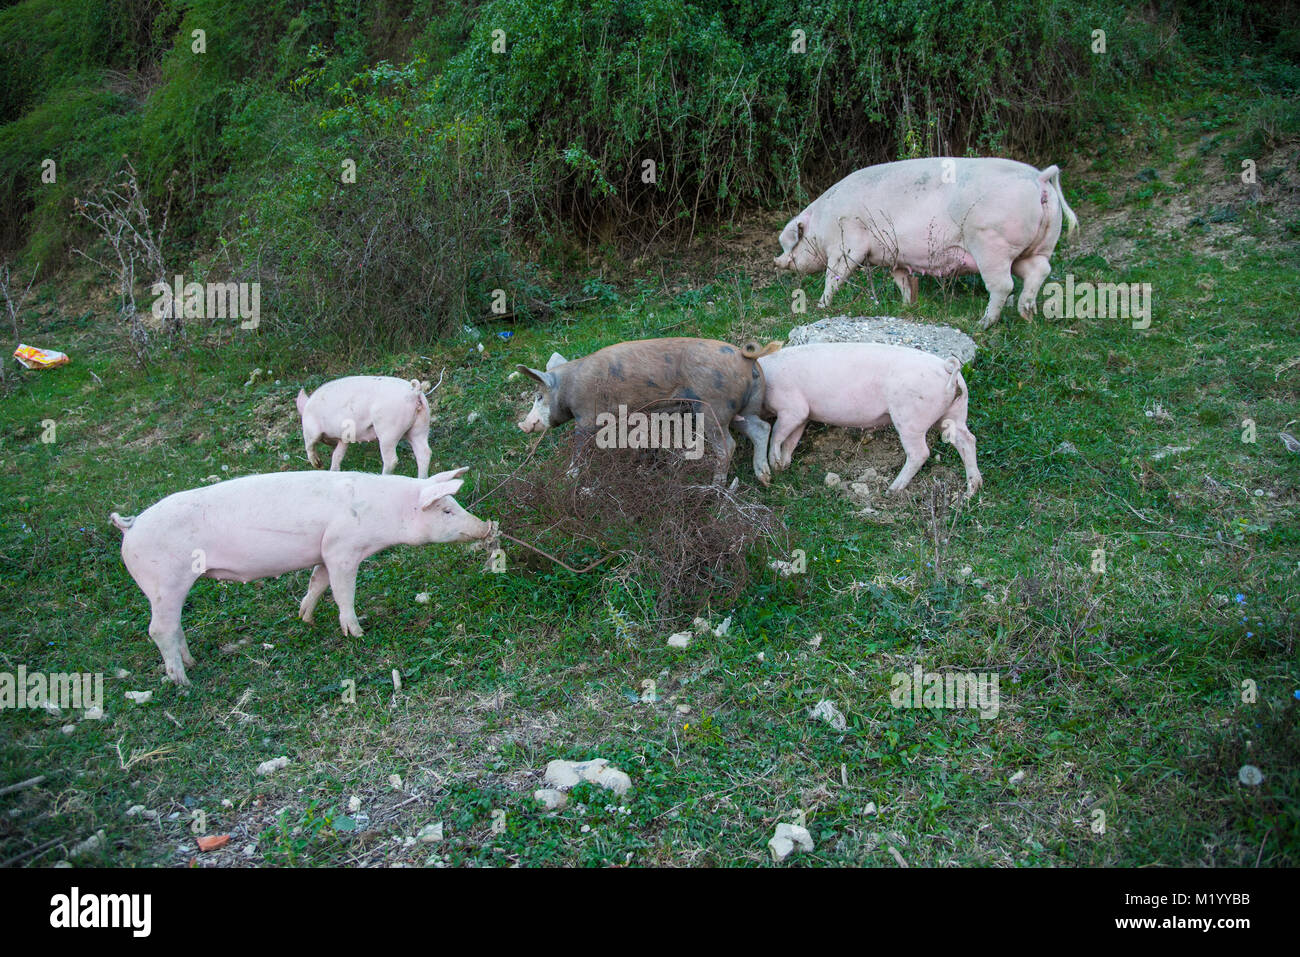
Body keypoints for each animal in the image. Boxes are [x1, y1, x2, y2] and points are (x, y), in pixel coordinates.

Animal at [109, 468, 489, 685]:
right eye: (446, 510)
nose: (486, 526)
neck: (385, 513)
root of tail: (131, 526)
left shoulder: (323, 552)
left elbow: (317, 582)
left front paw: (305, 618)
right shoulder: (341, 548)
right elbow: (343, 591)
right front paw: (356, 633)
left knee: (173, 627)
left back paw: (192, 662)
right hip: (164, 581)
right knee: (158, 629)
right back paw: (182, 682)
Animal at [296, 376, 432, 477]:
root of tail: (414, 392)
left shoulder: (311, 429)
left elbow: (309, 445)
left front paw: (318, 465)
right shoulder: (344, 438)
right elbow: (337, 455)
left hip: (388, 429)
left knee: (391, 460)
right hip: (421, 425)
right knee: (424, 452)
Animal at [516, 338, 780, 485]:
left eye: (539, 396)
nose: (523, 425)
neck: (569, 388)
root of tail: (746, 357)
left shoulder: (587, 416)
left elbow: (579, 444)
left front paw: (570, 476)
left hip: (712, 407)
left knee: (729, 445)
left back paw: (716, 486)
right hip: (740, 409)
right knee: (761, 428)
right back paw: (766, 477)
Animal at [758, 343, 981, 497]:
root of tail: (946, 367)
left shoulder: (792, 408)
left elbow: (777, 432)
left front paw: (774, 464)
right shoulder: (804, 416)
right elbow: (791, 440)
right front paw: (783, 466)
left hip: (910, 418)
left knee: (920, 453)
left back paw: (892, 490)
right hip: (955, 413)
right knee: (968, 440)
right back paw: (971, 491)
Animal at [774, 157, 1078, 328]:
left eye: (789, 244)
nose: (776, 261)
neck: (823, 222)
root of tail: (1039, 178)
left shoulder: (847, 244)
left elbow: (835, 275)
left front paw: (820, 306)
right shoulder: (897, 259)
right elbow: (903, 282)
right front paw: (907, 306)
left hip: (992, 243)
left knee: (1003, 285)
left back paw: (983, 323)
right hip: (1037, 248)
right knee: (1039, 271)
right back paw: (1028, 315)